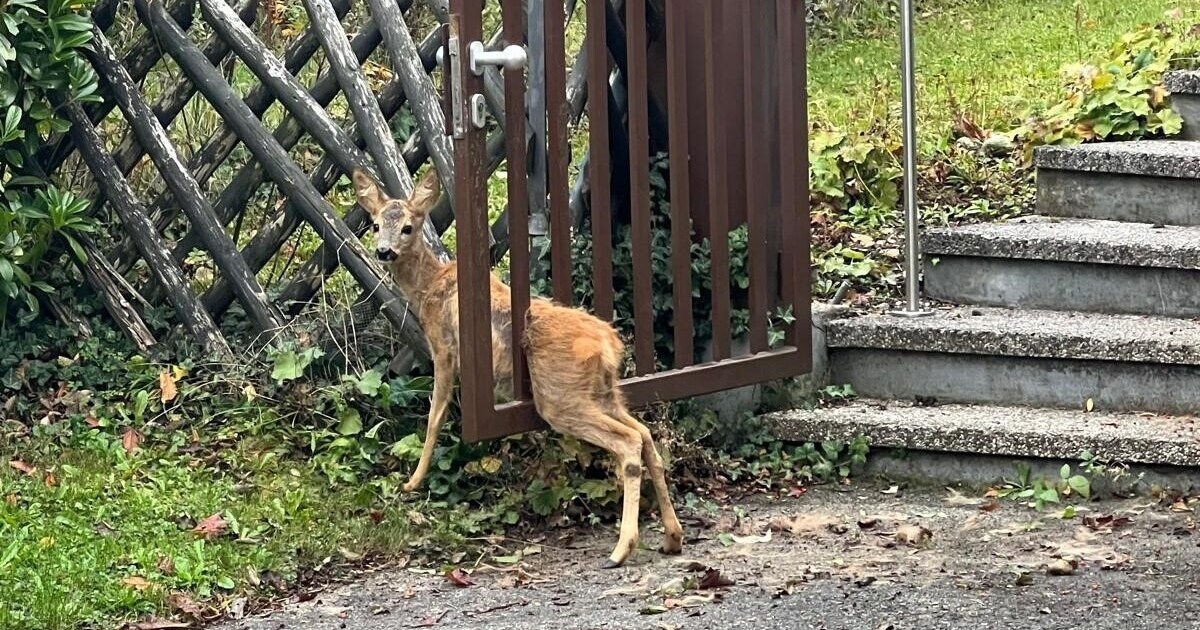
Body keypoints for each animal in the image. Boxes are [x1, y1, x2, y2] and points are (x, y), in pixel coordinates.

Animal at [353, 168, 684, 568]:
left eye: (407, 227)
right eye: (374, 225)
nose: (383, 251)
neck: (430, 287)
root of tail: (609, 344)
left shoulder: (445, 349)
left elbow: (435, 416)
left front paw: (412, 482)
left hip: (559, 397)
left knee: (629, 442)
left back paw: (621, 549)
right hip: (604, 393)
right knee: (646, 435)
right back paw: (672, 537)